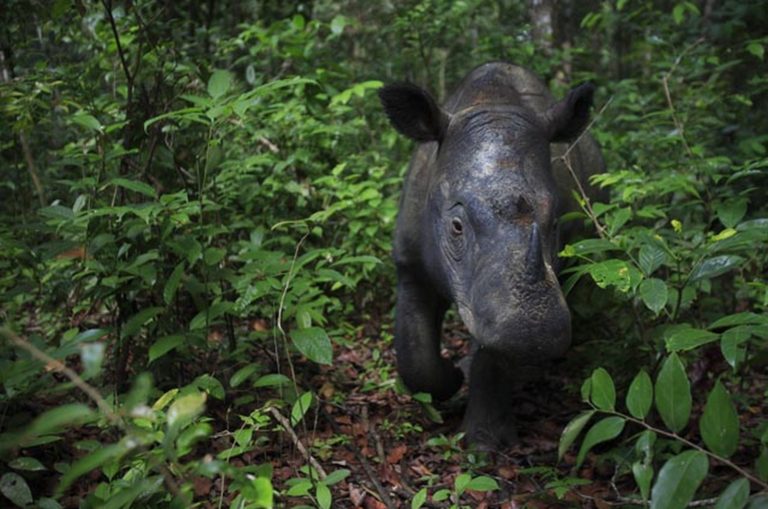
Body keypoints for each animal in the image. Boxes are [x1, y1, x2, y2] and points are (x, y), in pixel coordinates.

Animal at [379, 62, 605, 448]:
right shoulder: (409, 264)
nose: (536, 334)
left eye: (556, 224)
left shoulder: (499, 303)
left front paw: (485, 445)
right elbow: (414, 355)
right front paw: (452, 378)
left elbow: (494, 349)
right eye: (455, 226)